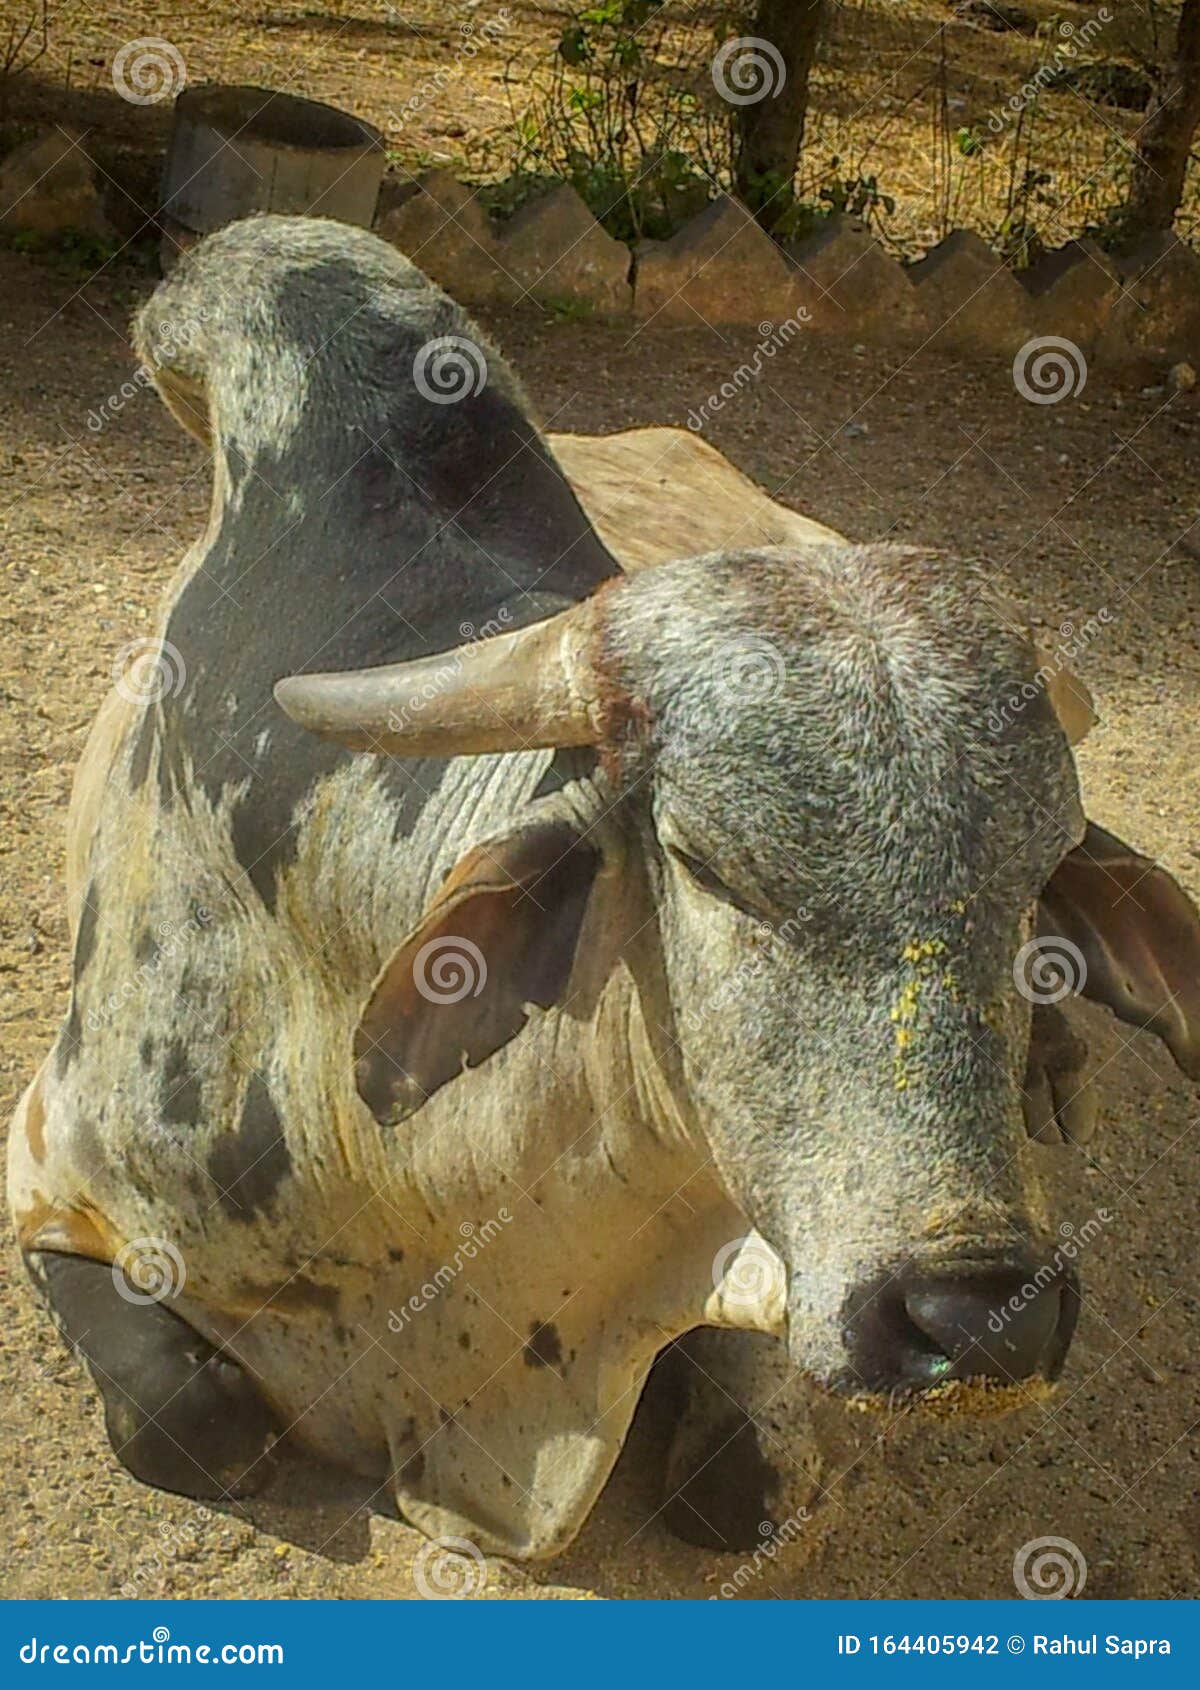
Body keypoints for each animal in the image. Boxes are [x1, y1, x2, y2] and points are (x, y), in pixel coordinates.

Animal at [8, 215, 1200, 1562]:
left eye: (1039, 880)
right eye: (703, 863)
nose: (979, 1314)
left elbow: (746, 1475)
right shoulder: (49, 1169)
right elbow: (194, 1419)